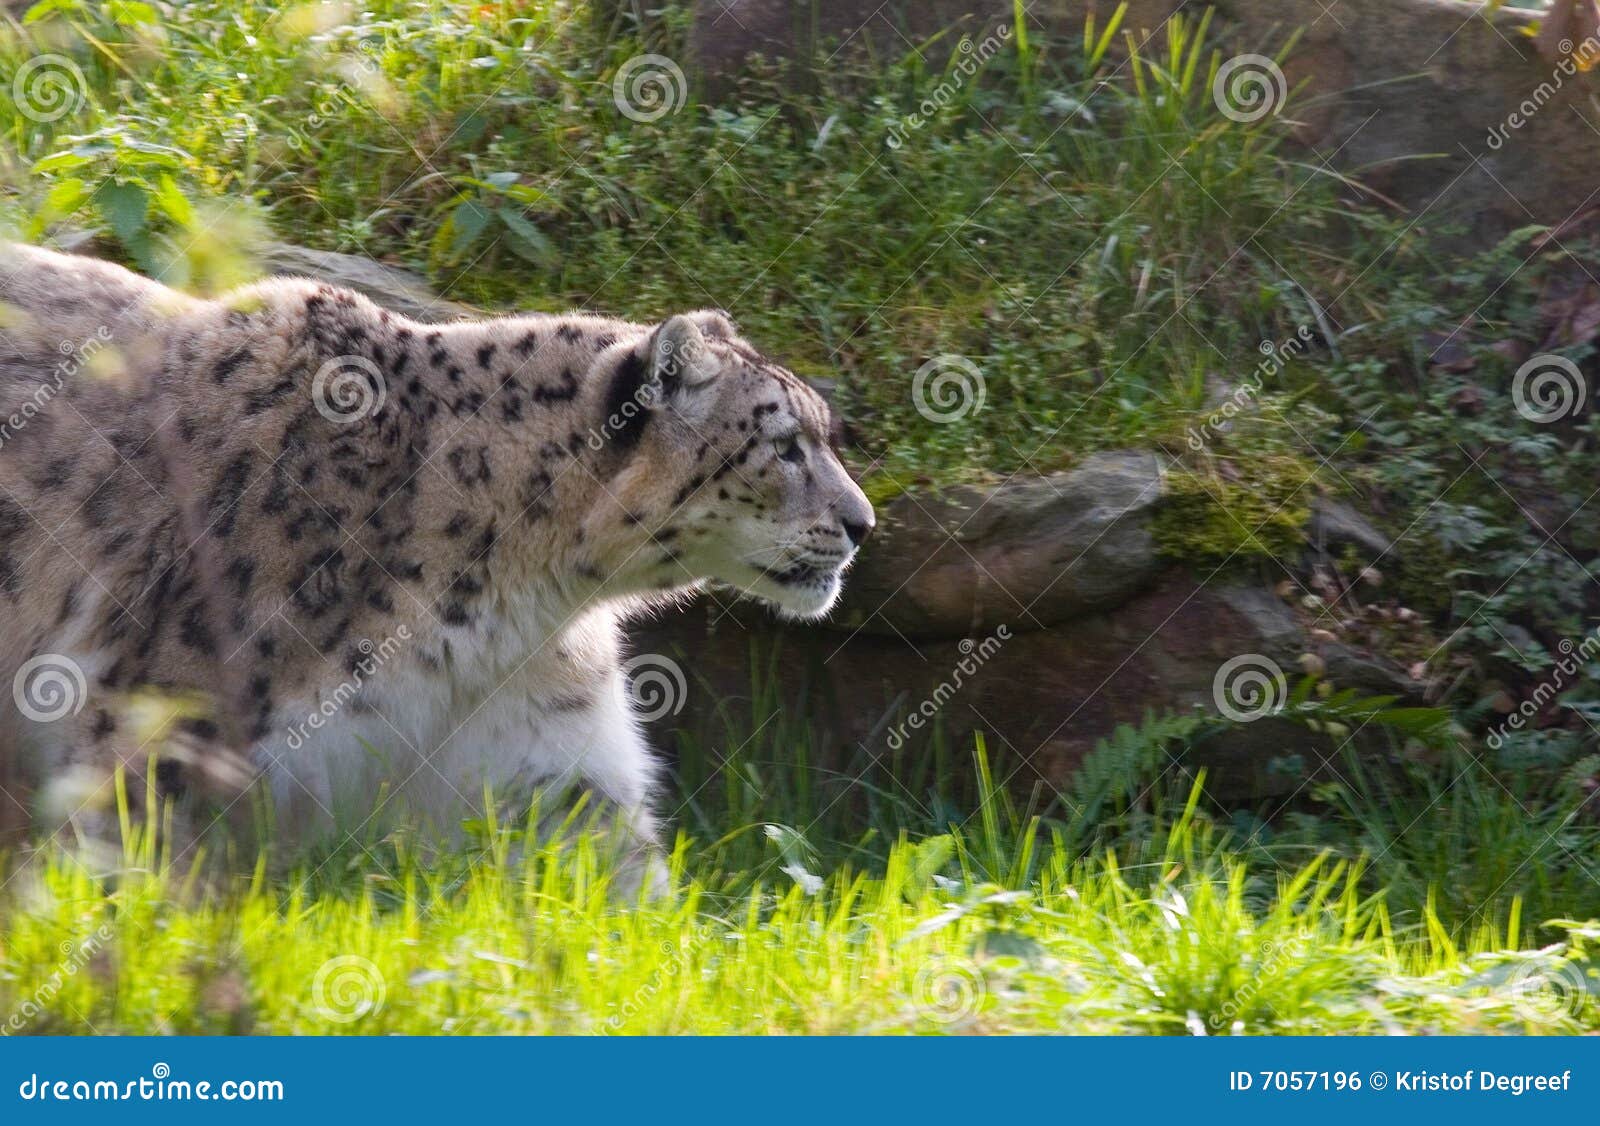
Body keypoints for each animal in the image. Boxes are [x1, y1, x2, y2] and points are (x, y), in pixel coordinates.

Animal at [0, 242, 874, 892]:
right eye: (784, 444)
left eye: (825, 432)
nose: (862, 524)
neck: (508, 605)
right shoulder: (161, 718)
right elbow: (126, 864)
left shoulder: (557, 746)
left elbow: (620, 873)